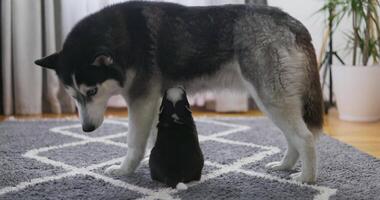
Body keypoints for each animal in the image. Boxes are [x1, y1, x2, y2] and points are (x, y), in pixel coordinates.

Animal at [34, 1, 322, 184]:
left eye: (92, 91)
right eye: (73, 96)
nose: (87, 129)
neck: (124, 36)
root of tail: (293, 23)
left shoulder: (141, 101)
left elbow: (134, 143)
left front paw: (125, 170)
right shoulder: (152, 102)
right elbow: (151, 139)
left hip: (272, 98)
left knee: (305, 138)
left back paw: (306, 179)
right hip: (272, 102)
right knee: (293, 138)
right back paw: (284, 166)